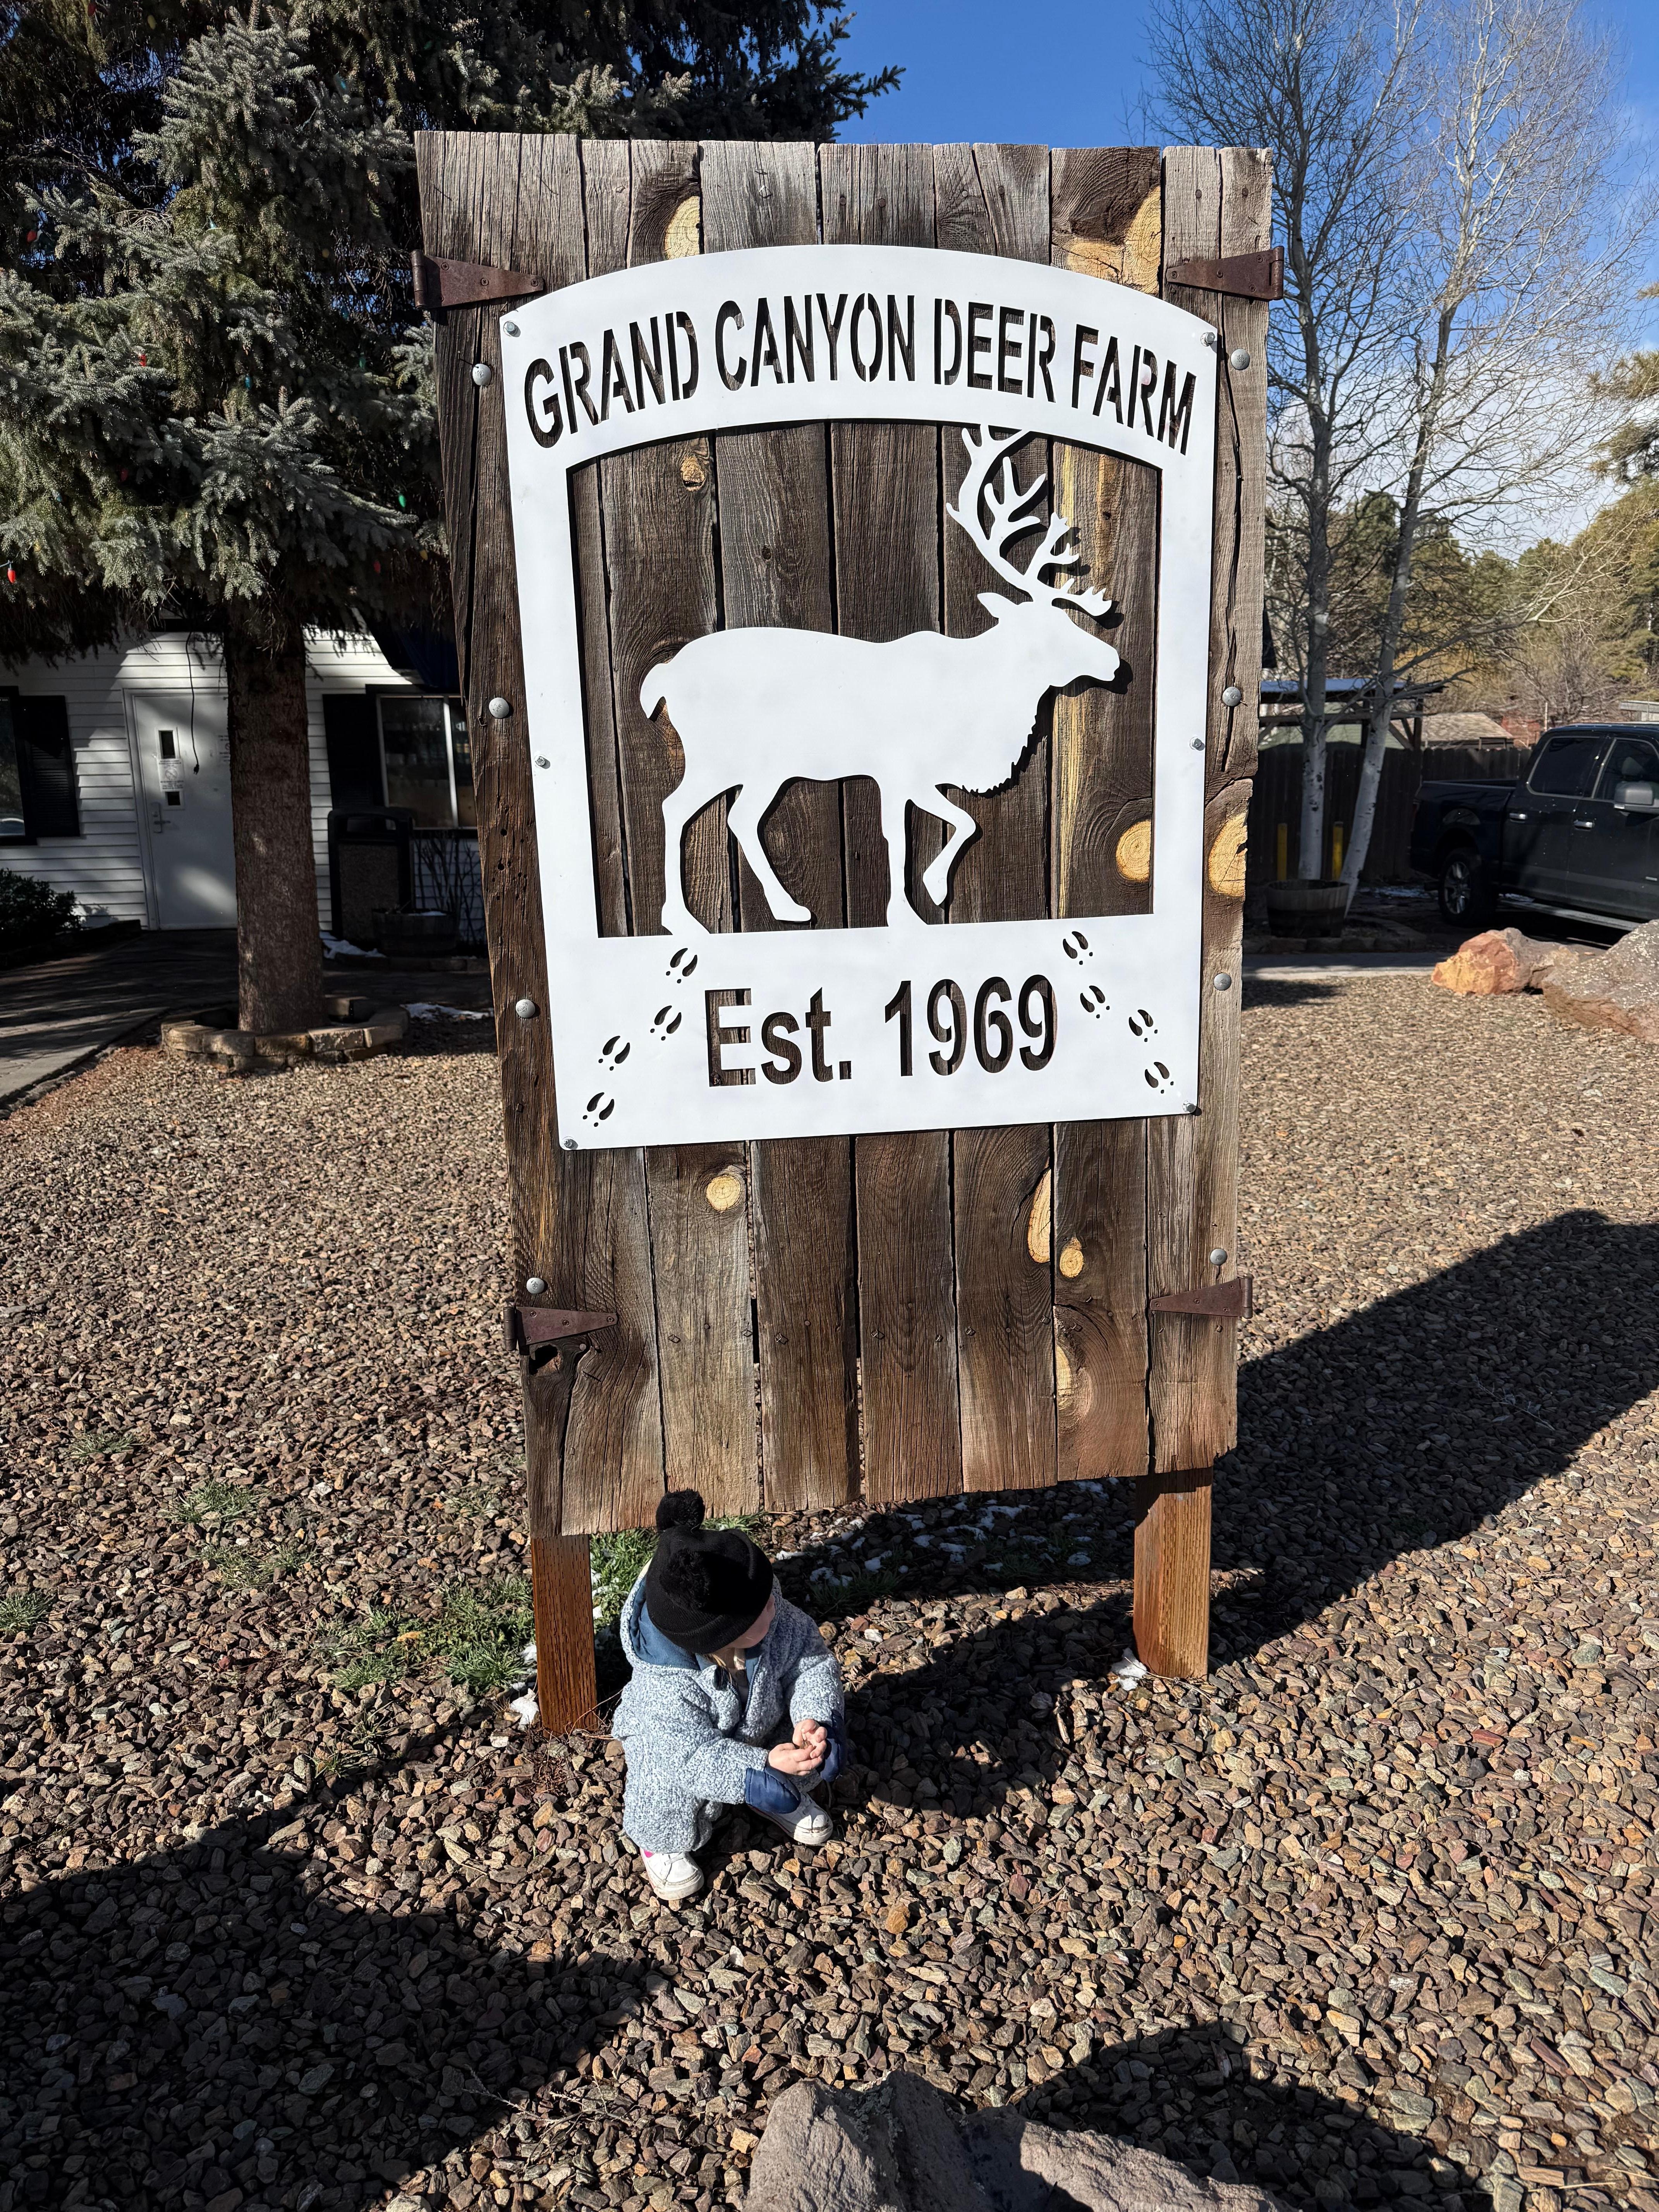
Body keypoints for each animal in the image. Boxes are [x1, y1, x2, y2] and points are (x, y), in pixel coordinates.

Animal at [640, 426, 1121, 933]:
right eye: (1045, 632)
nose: (1113, 661)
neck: (974, 706)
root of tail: (665, 677)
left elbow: (963, 823)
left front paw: (931, 890)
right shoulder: (897, 768)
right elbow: (909, 834)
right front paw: (913, 909)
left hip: (767, 768)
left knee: (741, 819)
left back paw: (788, 908)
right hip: (716, 756)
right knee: (676, 808)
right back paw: (682, 920)